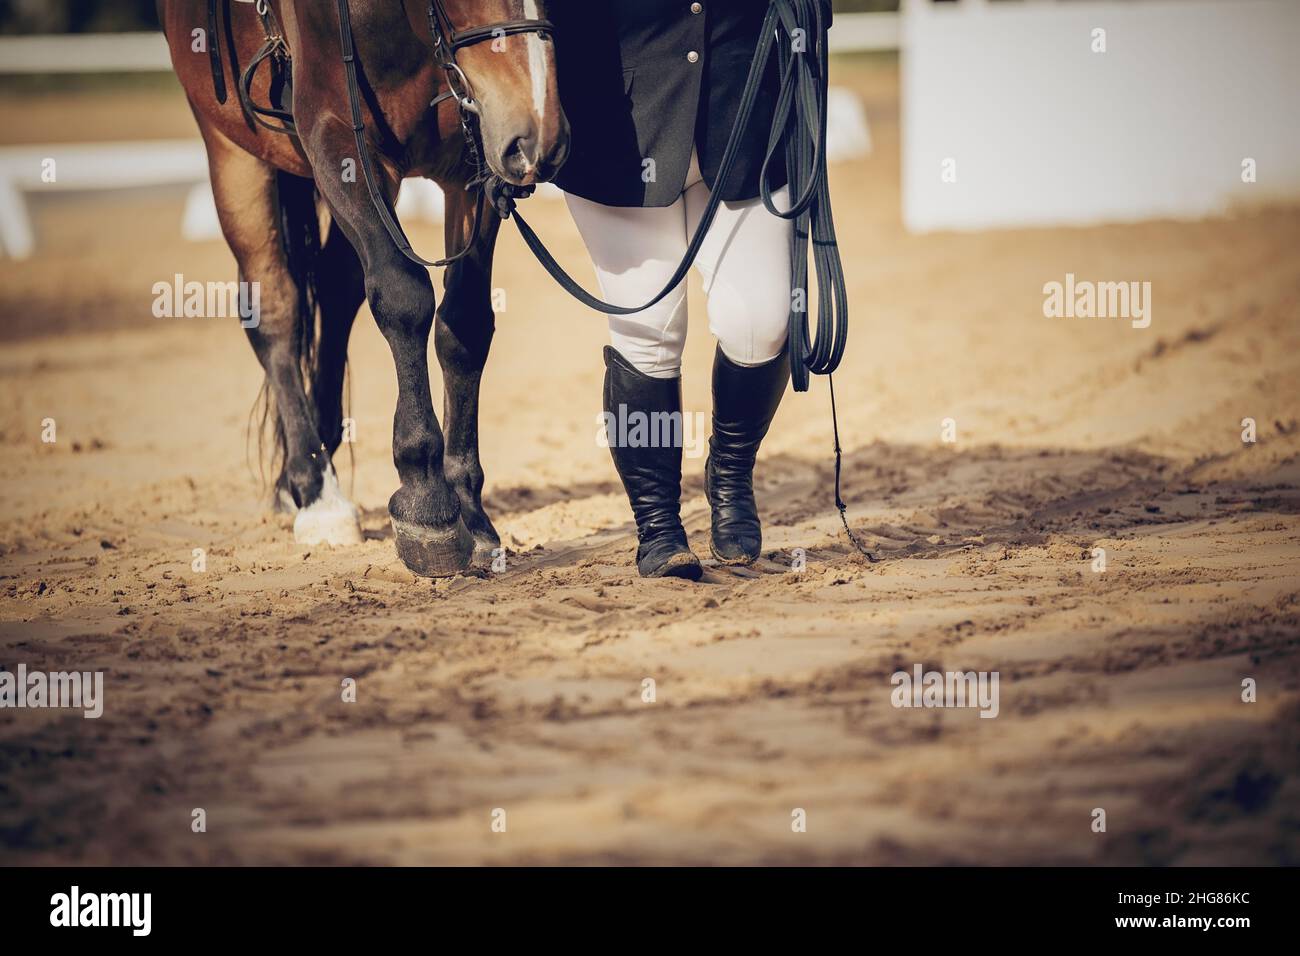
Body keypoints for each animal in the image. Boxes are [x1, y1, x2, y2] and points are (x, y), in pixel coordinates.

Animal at [160, 0, 569, 576]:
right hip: (232, 152)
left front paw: (470, 511)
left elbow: (464, 325)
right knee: (276, 310)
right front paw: (426, 501)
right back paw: (317, 496)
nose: (536, 139)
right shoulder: (337, 136)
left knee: (336, 291)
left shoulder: (475, 154)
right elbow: (403, 295)